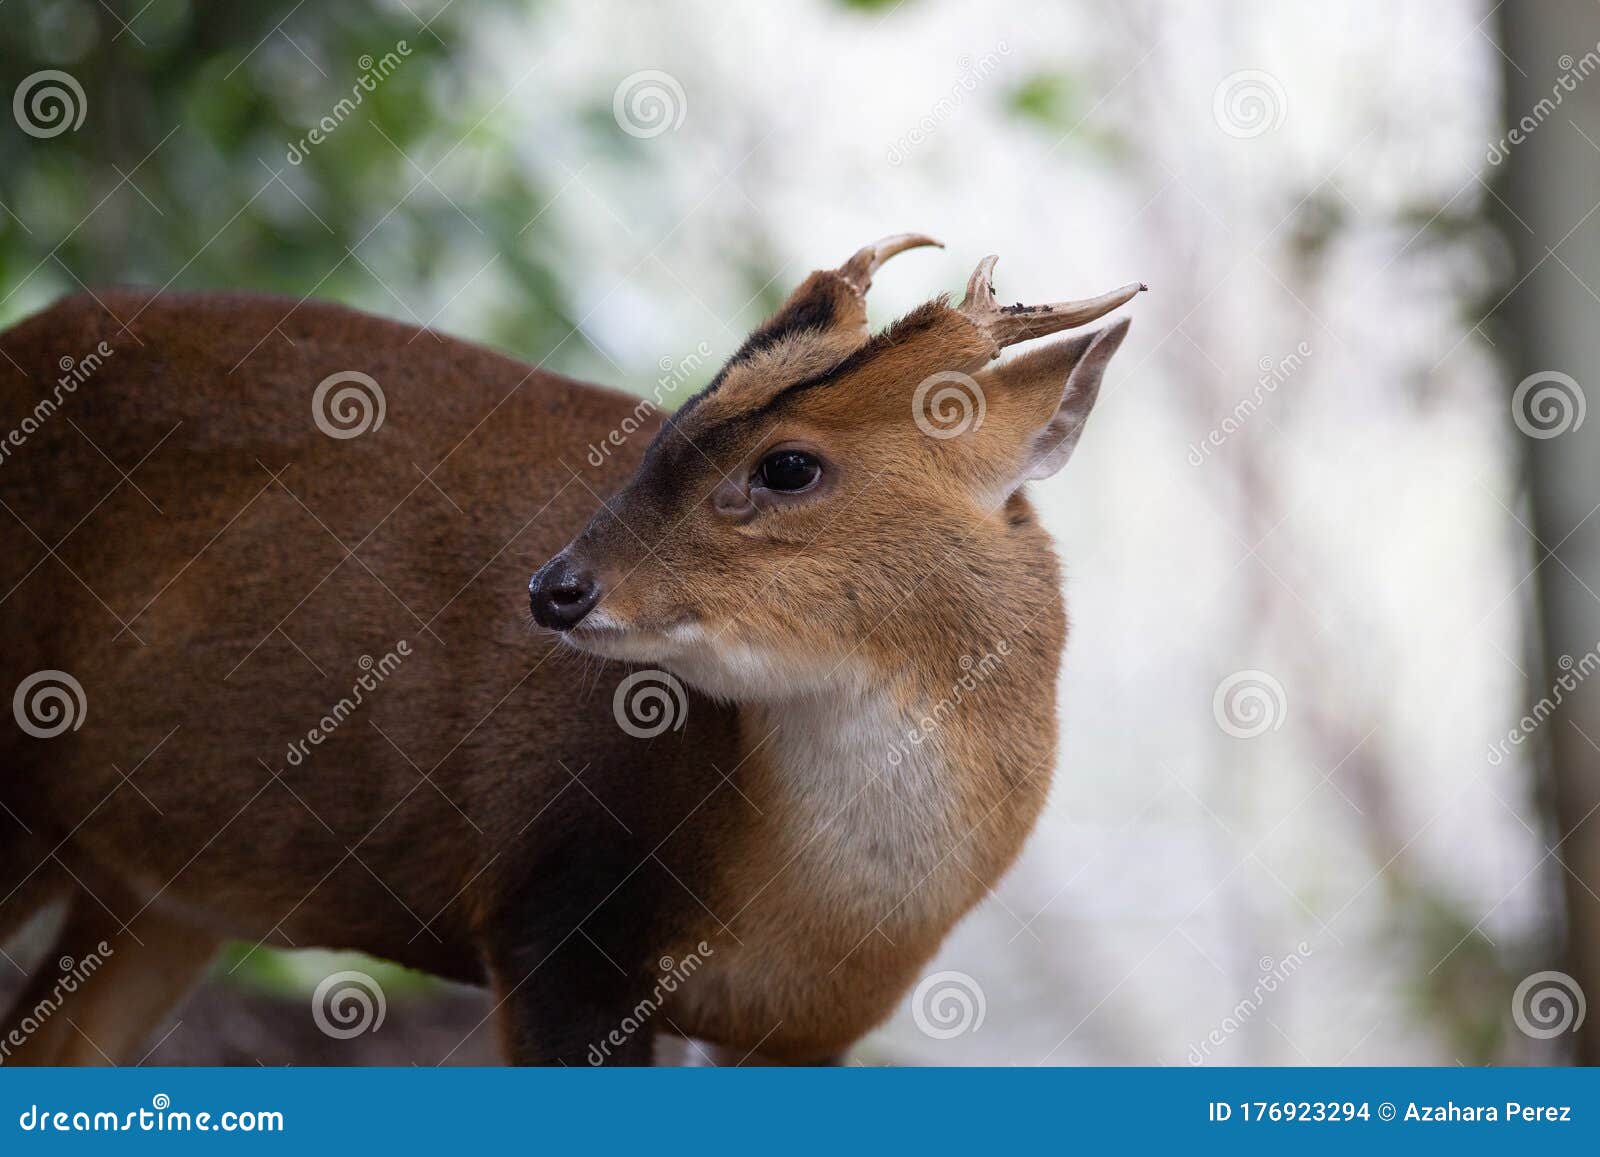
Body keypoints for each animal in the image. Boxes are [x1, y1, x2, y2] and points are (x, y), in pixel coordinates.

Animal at [0, 234, 1141, 1065]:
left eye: (788, 465)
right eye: (669, 428)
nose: (556, 587)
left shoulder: (810, 1028)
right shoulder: (554, 926)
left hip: (153, 888)